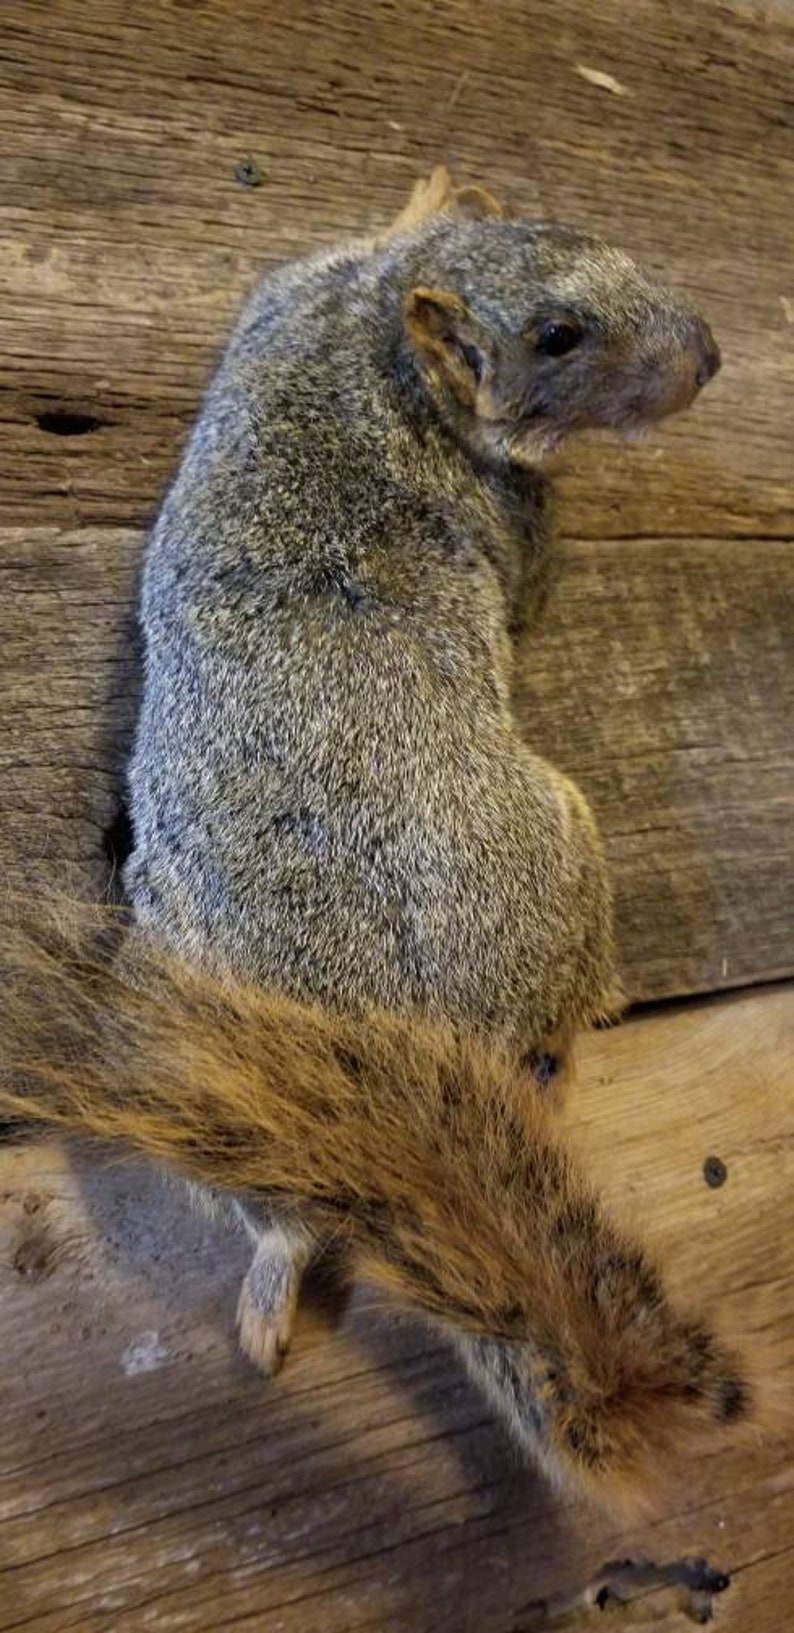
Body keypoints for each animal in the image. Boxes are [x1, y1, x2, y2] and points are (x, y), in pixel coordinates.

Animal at [0, 171, 737, 1509]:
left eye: (611, 243)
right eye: (556, 337)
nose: (706, 354)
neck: (366, 317)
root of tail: (415, 1037)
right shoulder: (506, 513)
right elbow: (530, 582)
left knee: (284, 1220)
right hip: (565, 851)